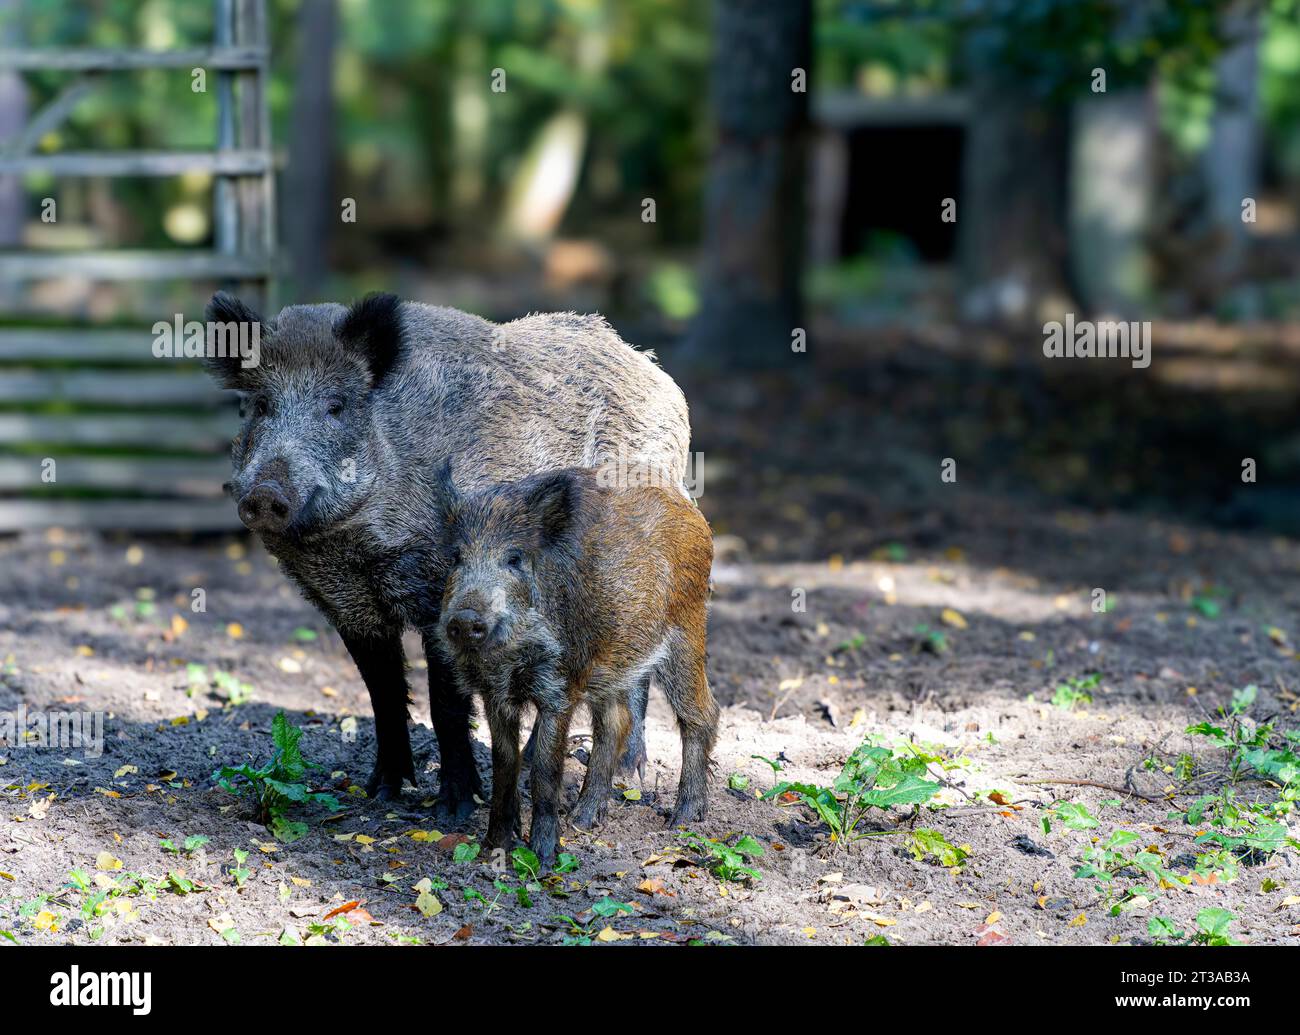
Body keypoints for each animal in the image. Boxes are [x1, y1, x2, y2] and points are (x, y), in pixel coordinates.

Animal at [200, 291, 691, 821]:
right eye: (260, 405)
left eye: (336, 405)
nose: (266, 493)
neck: (352, 548)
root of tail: (655, 373)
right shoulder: (348, 606)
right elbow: (383, 693)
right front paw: (382, 793)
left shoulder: (441, 593)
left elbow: (445, 701)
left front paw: (454, 809)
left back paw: (625, 773)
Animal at [431, 464, 718, 865]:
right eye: (456, 557)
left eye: (514, 559)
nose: (465, 619)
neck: (510, 660)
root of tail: (691, 510)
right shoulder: (494, 695)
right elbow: (505, 765)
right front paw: (493, 849)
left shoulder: (560, 686)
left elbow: (544, 769)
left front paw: (543, 857)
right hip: (613, 662)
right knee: (616, 722)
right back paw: (582, 819)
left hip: (685, 634)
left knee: (702, 713)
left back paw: (683, 819)